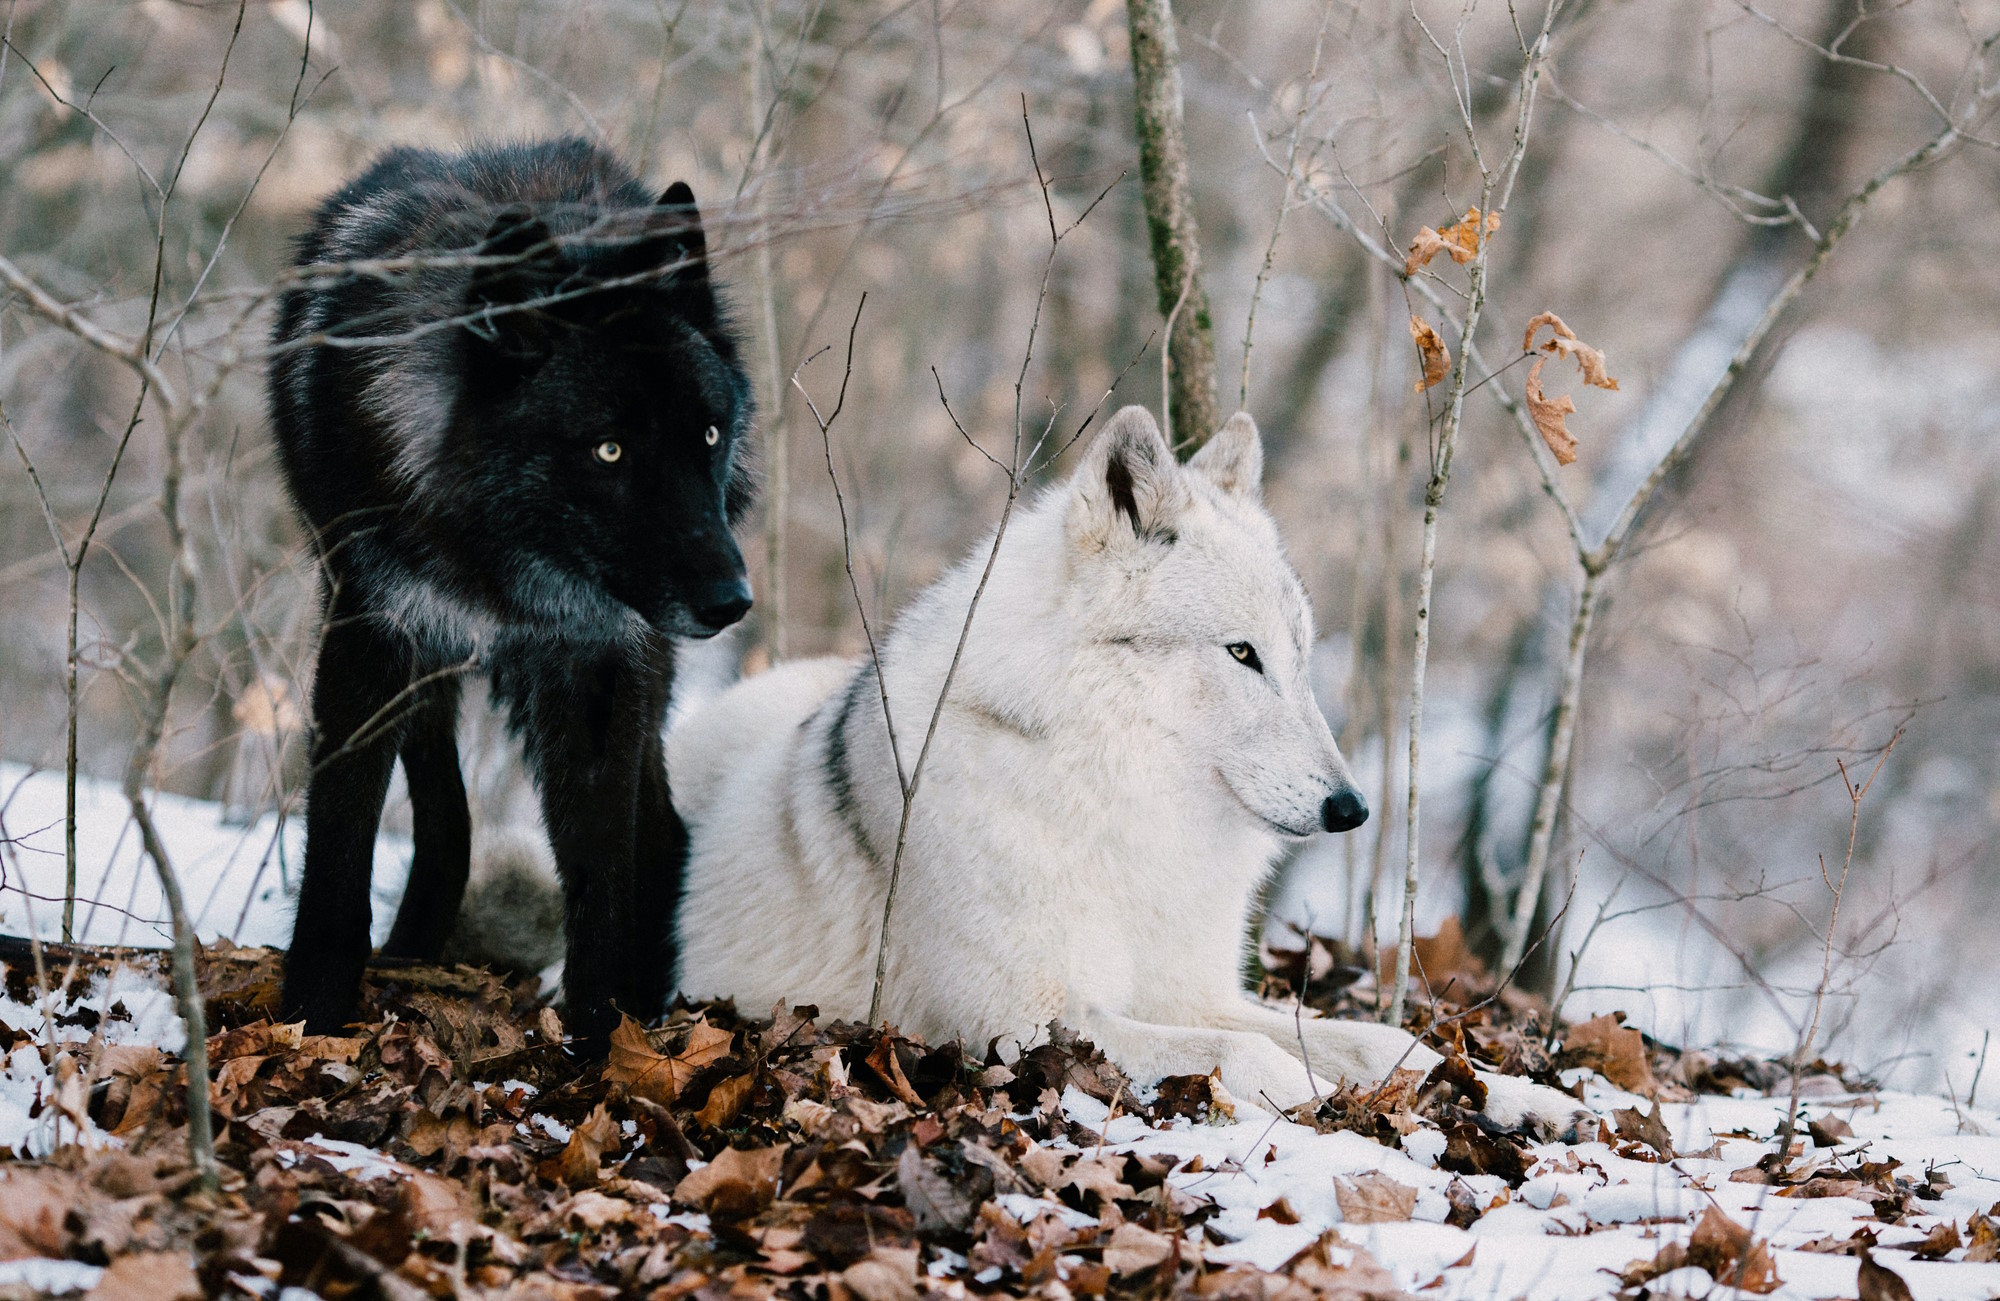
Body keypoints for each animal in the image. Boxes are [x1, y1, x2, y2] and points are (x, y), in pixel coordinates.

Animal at [269, 138, 753, 1047]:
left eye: (707, 434)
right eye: (609, 450)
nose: (731, 600)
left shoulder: (597, 663)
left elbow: (599, 870)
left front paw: (599, 1040)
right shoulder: (372, 631)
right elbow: (342, 843)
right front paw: (312, 1014)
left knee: (660, 834)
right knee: (447, 815)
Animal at [671, 406, 1589, 1133]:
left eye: (1299, 656)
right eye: (1242, 653)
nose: (1351, 806)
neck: (1120, 805)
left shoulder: (1191, 992)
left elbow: (1384, 1039)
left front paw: (1515, 1094)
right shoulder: (1020, 1019)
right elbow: (1250, 1053)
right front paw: (1330, 1100)